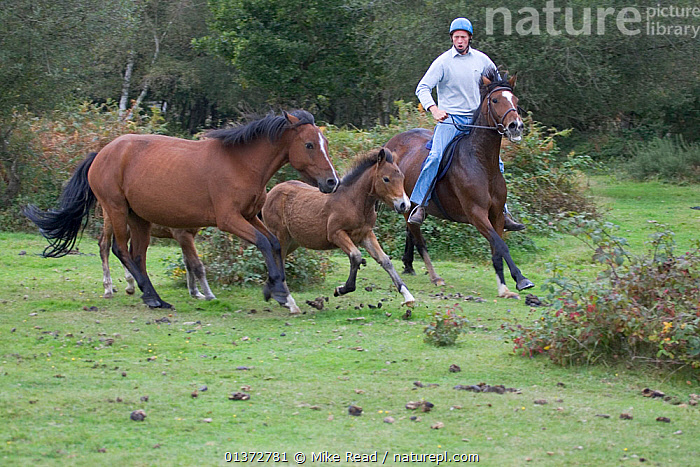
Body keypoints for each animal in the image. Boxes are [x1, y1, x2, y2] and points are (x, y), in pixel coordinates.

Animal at [25, 110, 339, 314]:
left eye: (324, 143)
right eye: (309, 144)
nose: (332, 182)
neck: (241, 163)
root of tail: (101, 153)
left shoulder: (250, 217)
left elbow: (273, 244)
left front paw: (274, 290)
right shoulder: (229, 220)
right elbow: (263, 243)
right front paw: (281, 295)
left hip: (139, 218)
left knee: (137, 255)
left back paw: (151, 297)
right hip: (116, 210)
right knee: (118, 249)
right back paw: (149, 296)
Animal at [261, 147, 415, 308]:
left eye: (402, 177)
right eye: (386, 179)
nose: (404, 205)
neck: (354, 202)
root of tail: (271, 192)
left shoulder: (366, 234)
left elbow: (385, 260)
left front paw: (407, 296)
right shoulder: (336, 234)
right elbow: (356, 256)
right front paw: (341, 289)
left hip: (293, 241)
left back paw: (272, 291)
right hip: (280, 236)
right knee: (278, 260)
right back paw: (285, 299)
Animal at [384, 70, 534, 299]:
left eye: (515, 100)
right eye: (495, 100)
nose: (515, 126)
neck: (482, 162)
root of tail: (391, 144)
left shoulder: (497, 215)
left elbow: (497, 248)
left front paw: (504, 287)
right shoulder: (476, 214)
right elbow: (501, 245)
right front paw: (521, 279)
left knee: (411, 231)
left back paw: (409, 265)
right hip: (408, 206)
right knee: (419, 238)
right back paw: (435, 276)